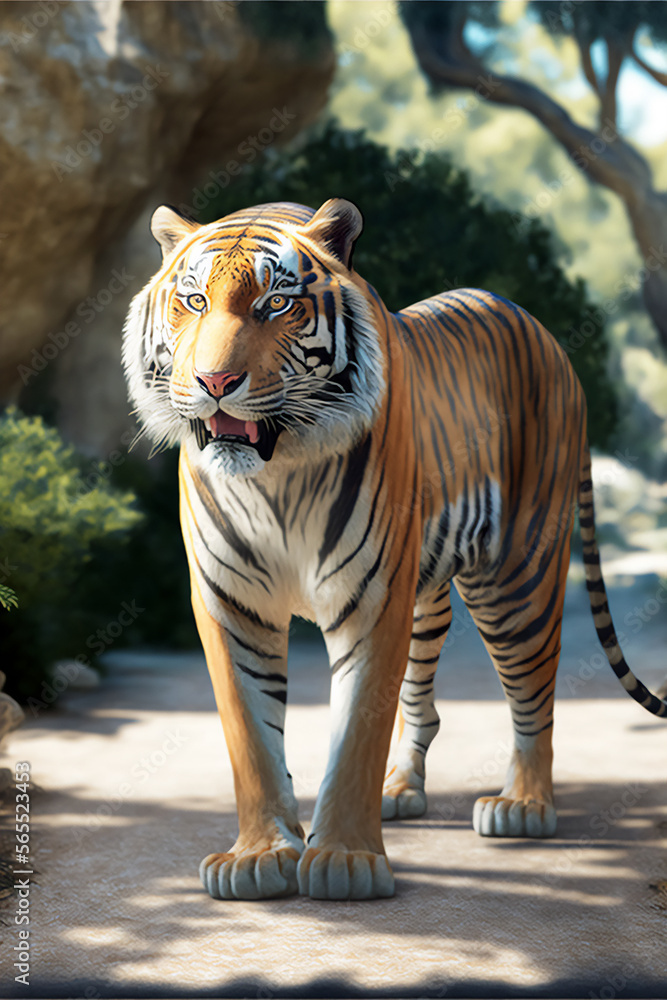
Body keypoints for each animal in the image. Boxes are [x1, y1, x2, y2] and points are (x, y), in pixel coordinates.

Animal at [122, 197, 667, 902]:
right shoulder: (231, 600)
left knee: (533, 695)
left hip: (514, 577)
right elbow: (251, 734)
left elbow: (356, 729)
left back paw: (523, 805)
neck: (277, 474)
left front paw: (344, 861)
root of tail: (539, 328)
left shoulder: (371, 598)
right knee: (423, 701)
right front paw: (259, 855)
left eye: (275, 303)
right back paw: (400, 789)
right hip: (429, 590)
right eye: (192, 300)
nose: (215, 380)